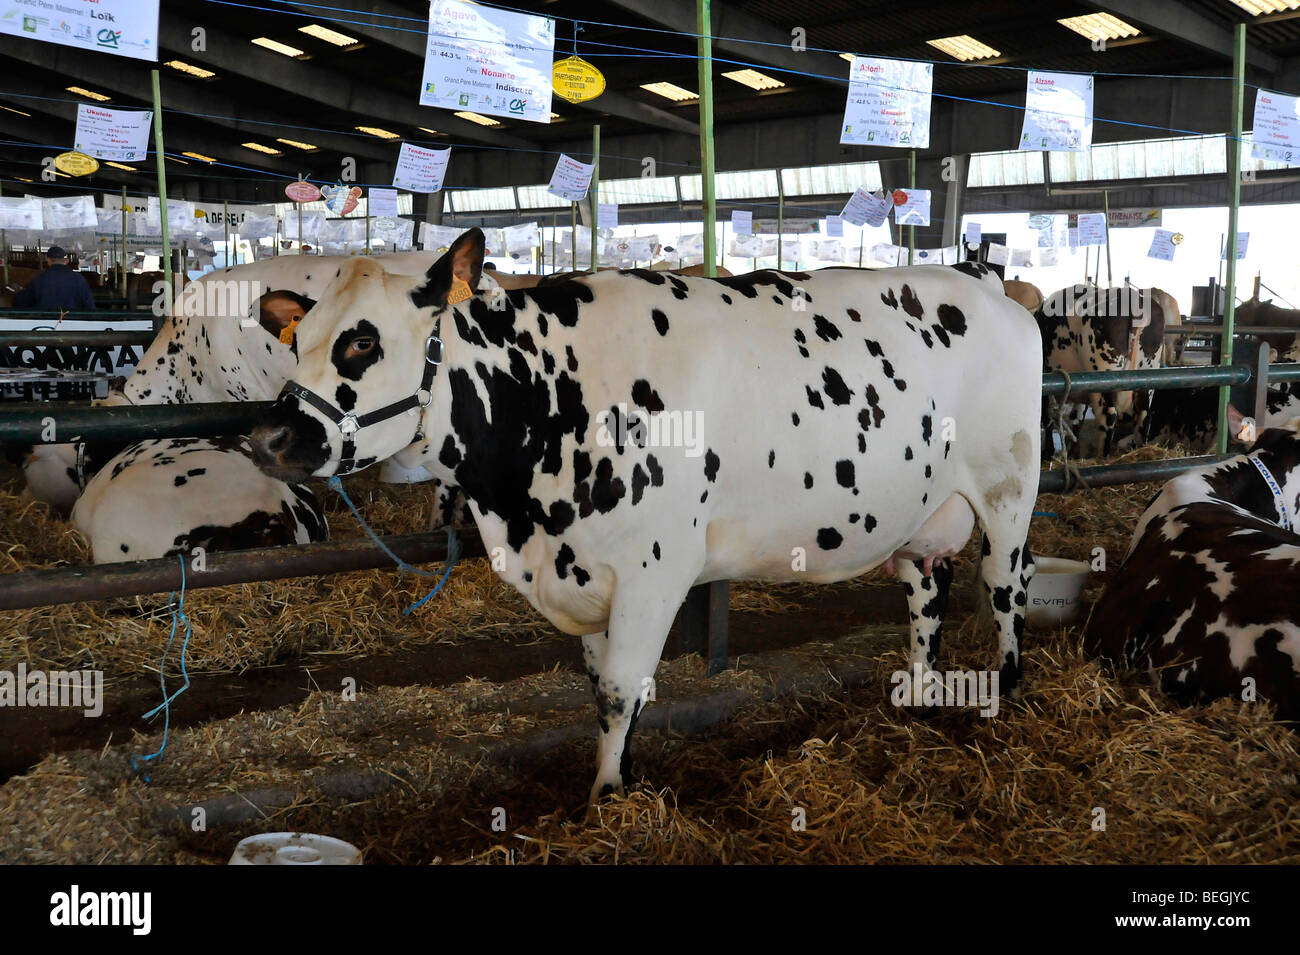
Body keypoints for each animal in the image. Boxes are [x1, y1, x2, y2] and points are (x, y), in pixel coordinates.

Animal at [249, 229, 1043, 802]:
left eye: (362, 340)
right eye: (298, 341)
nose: (268, 437)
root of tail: (982, 280)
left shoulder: (653, 570)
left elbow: (623, 689)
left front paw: (607, 801)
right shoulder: (582, 573)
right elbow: (600, 692)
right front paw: (615, 780)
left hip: (1009, 485)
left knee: (1005, 585)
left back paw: (1003, 694)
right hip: (921, 509)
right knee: (926, 588)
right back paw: (917, 695)